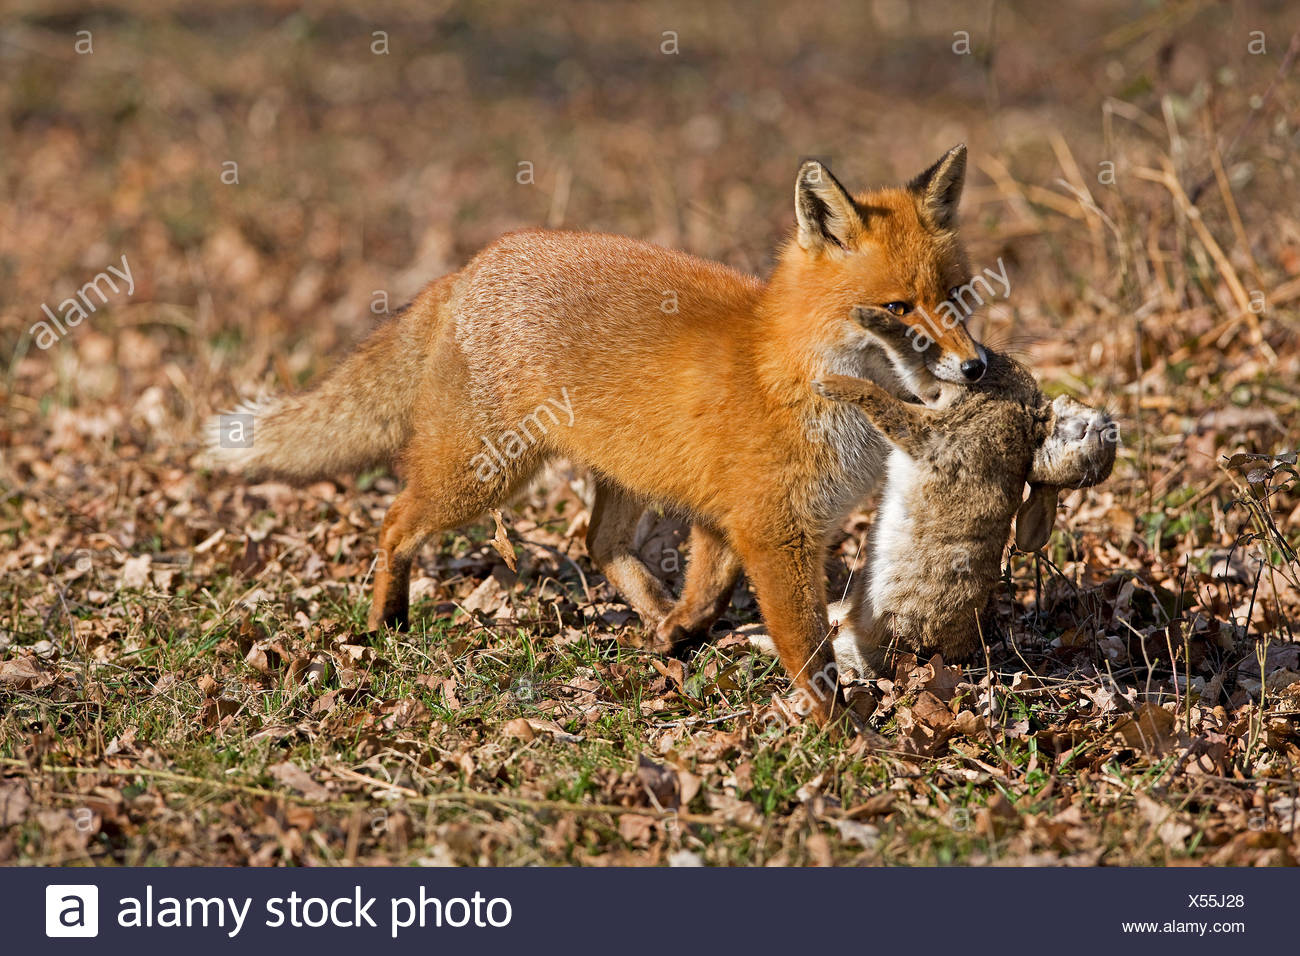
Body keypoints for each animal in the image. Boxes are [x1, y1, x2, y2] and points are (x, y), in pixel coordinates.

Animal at [205, 145, 988, 725]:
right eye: (897, 309)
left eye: (956, 297)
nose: (976, 367)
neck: (795, 372)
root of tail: (469, 268)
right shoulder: (773, 531)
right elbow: (808, 650)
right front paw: (842, 732)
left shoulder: (729, 517)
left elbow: (710, 591)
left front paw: (681, 632)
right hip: (482, 474)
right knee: (396, 521)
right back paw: (385, 619)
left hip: (621, 472)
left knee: (597, 543)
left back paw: (654, 618)